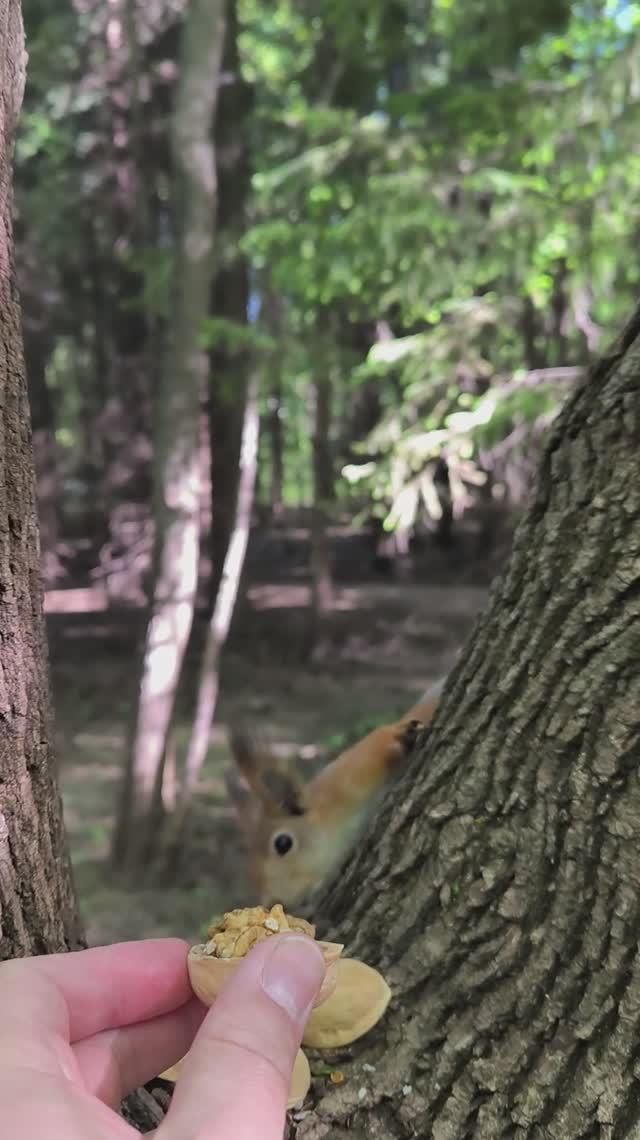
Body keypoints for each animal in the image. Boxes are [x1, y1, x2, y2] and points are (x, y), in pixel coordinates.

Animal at [225, 679, 444, 907]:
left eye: (283, 843)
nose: (274, 902)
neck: (332, 816)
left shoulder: (353, 772)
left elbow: (379, 741)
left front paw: (401, 735)